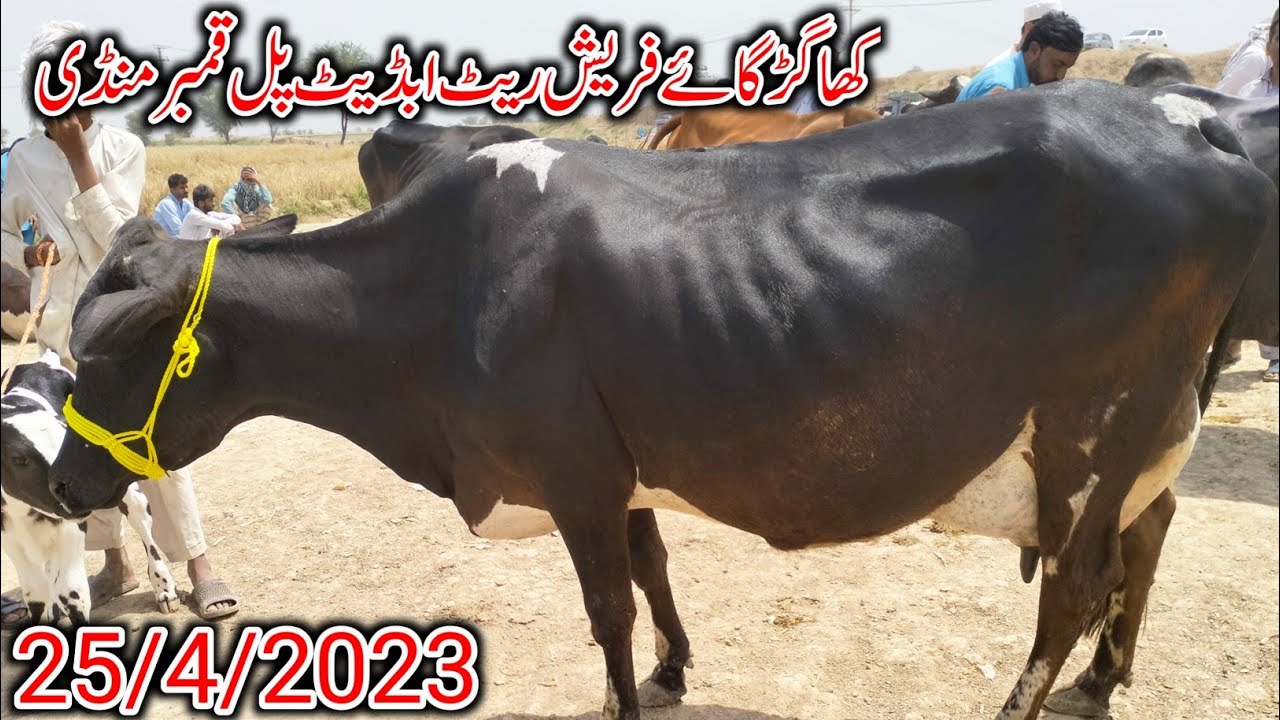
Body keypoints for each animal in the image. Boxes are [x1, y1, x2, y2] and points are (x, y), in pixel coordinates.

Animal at [1, 350, 178, 624]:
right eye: (18, 458)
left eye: (66, 439)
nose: (73, 489)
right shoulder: (12, 541)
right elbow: (37, 594)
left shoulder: (69, 533)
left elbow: (72, 593)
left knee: (142, 522)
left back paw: (164, 587)